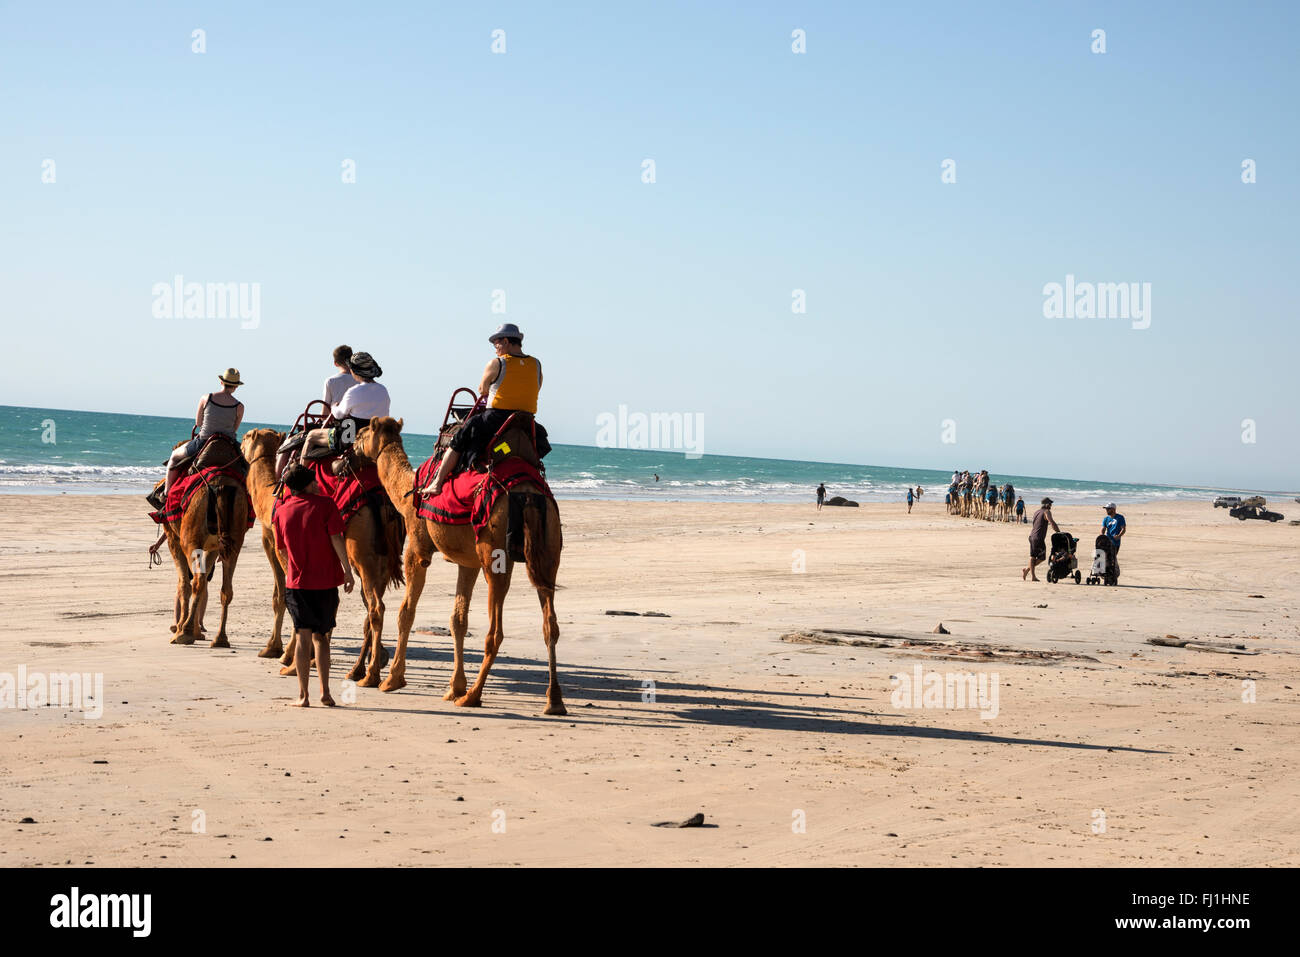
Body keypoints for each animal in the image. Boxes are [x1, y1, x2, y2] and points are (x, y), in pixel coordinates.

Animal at [241, 428, 405, 686]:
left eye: (248, 436)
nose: (239, 442)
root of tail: (381, 502)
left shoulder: (283, 547)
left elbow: (288, 598)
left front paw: (285, 655)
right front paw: (310, 656)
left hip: (363, 557)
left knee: (376, 608)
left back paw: (370, 675)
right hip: (380, 563)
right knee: (370, 607)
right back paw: (360, 669)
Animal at [355, 416, 565, 715]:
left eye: (362, 432)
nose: (351, 445)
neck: (408, 492)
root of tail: (528, 496)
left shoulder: (417, 549)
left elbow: (406, 612)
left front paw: (392, 679)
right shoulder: (468, 562)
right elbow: (458, 620)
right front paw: (454, 687)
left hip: (495, 553)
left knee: (495, 632)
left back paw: (473, 696)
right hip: (547, 551)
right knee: (551, 626)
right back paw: (554, 700)